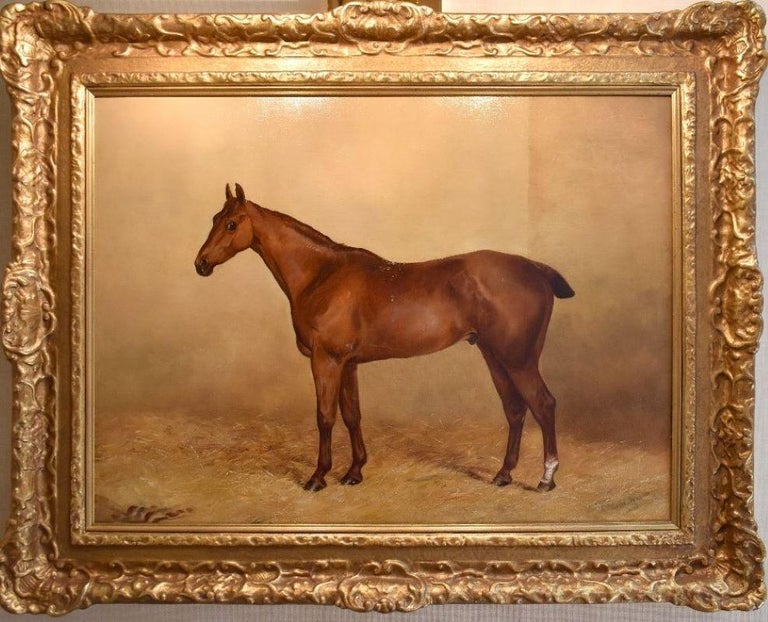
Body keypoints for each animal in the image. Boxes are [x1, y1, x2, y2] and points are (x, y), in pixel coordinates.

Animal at [194, 184, 574, 493]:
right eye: (213, 218)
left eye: (231, 224)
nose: (201, 264)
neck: (323, 275)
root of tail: (536, 269)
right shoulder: (347, 364)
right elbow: (352, 415)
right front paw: (354, 472)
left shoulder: (326, 361)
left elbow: (325, 416)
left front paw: (318, 477)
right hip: (494, 356)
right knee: (515, 409)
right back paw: (503, 474)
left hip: (518, 360)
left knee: (543, 404)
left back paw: (546, 478)